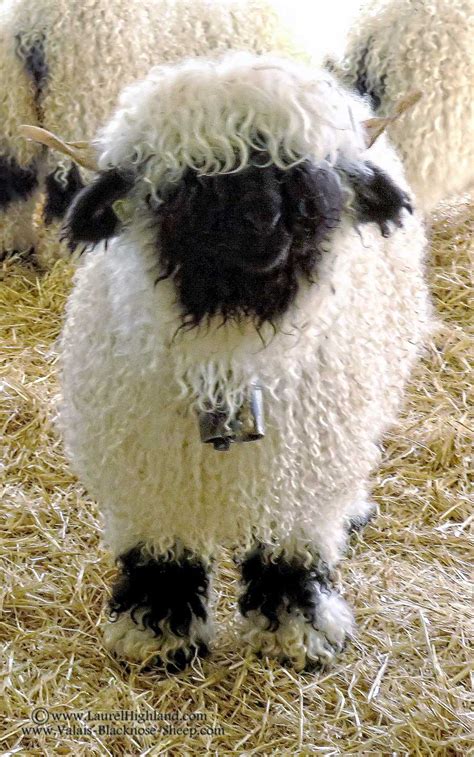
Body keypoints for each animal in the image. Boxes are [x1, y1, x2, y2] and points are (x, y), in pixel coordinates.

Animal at [0, 0, 304, 260]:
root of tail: (36, 29)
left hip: (14, 104)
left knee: (14, 180)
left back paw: (14, 249)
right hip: (83, 104)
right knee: (69, 189)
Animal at [57, 53, 431, 672]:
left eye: (301, 170)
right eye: (190, 180)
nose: (262, 219)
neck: (228, 357)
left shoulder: (304, 472)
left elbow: (290, 553)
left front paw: (298, 629)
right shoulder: (145, 475)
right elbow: (162, 552)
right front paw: (156, 630)